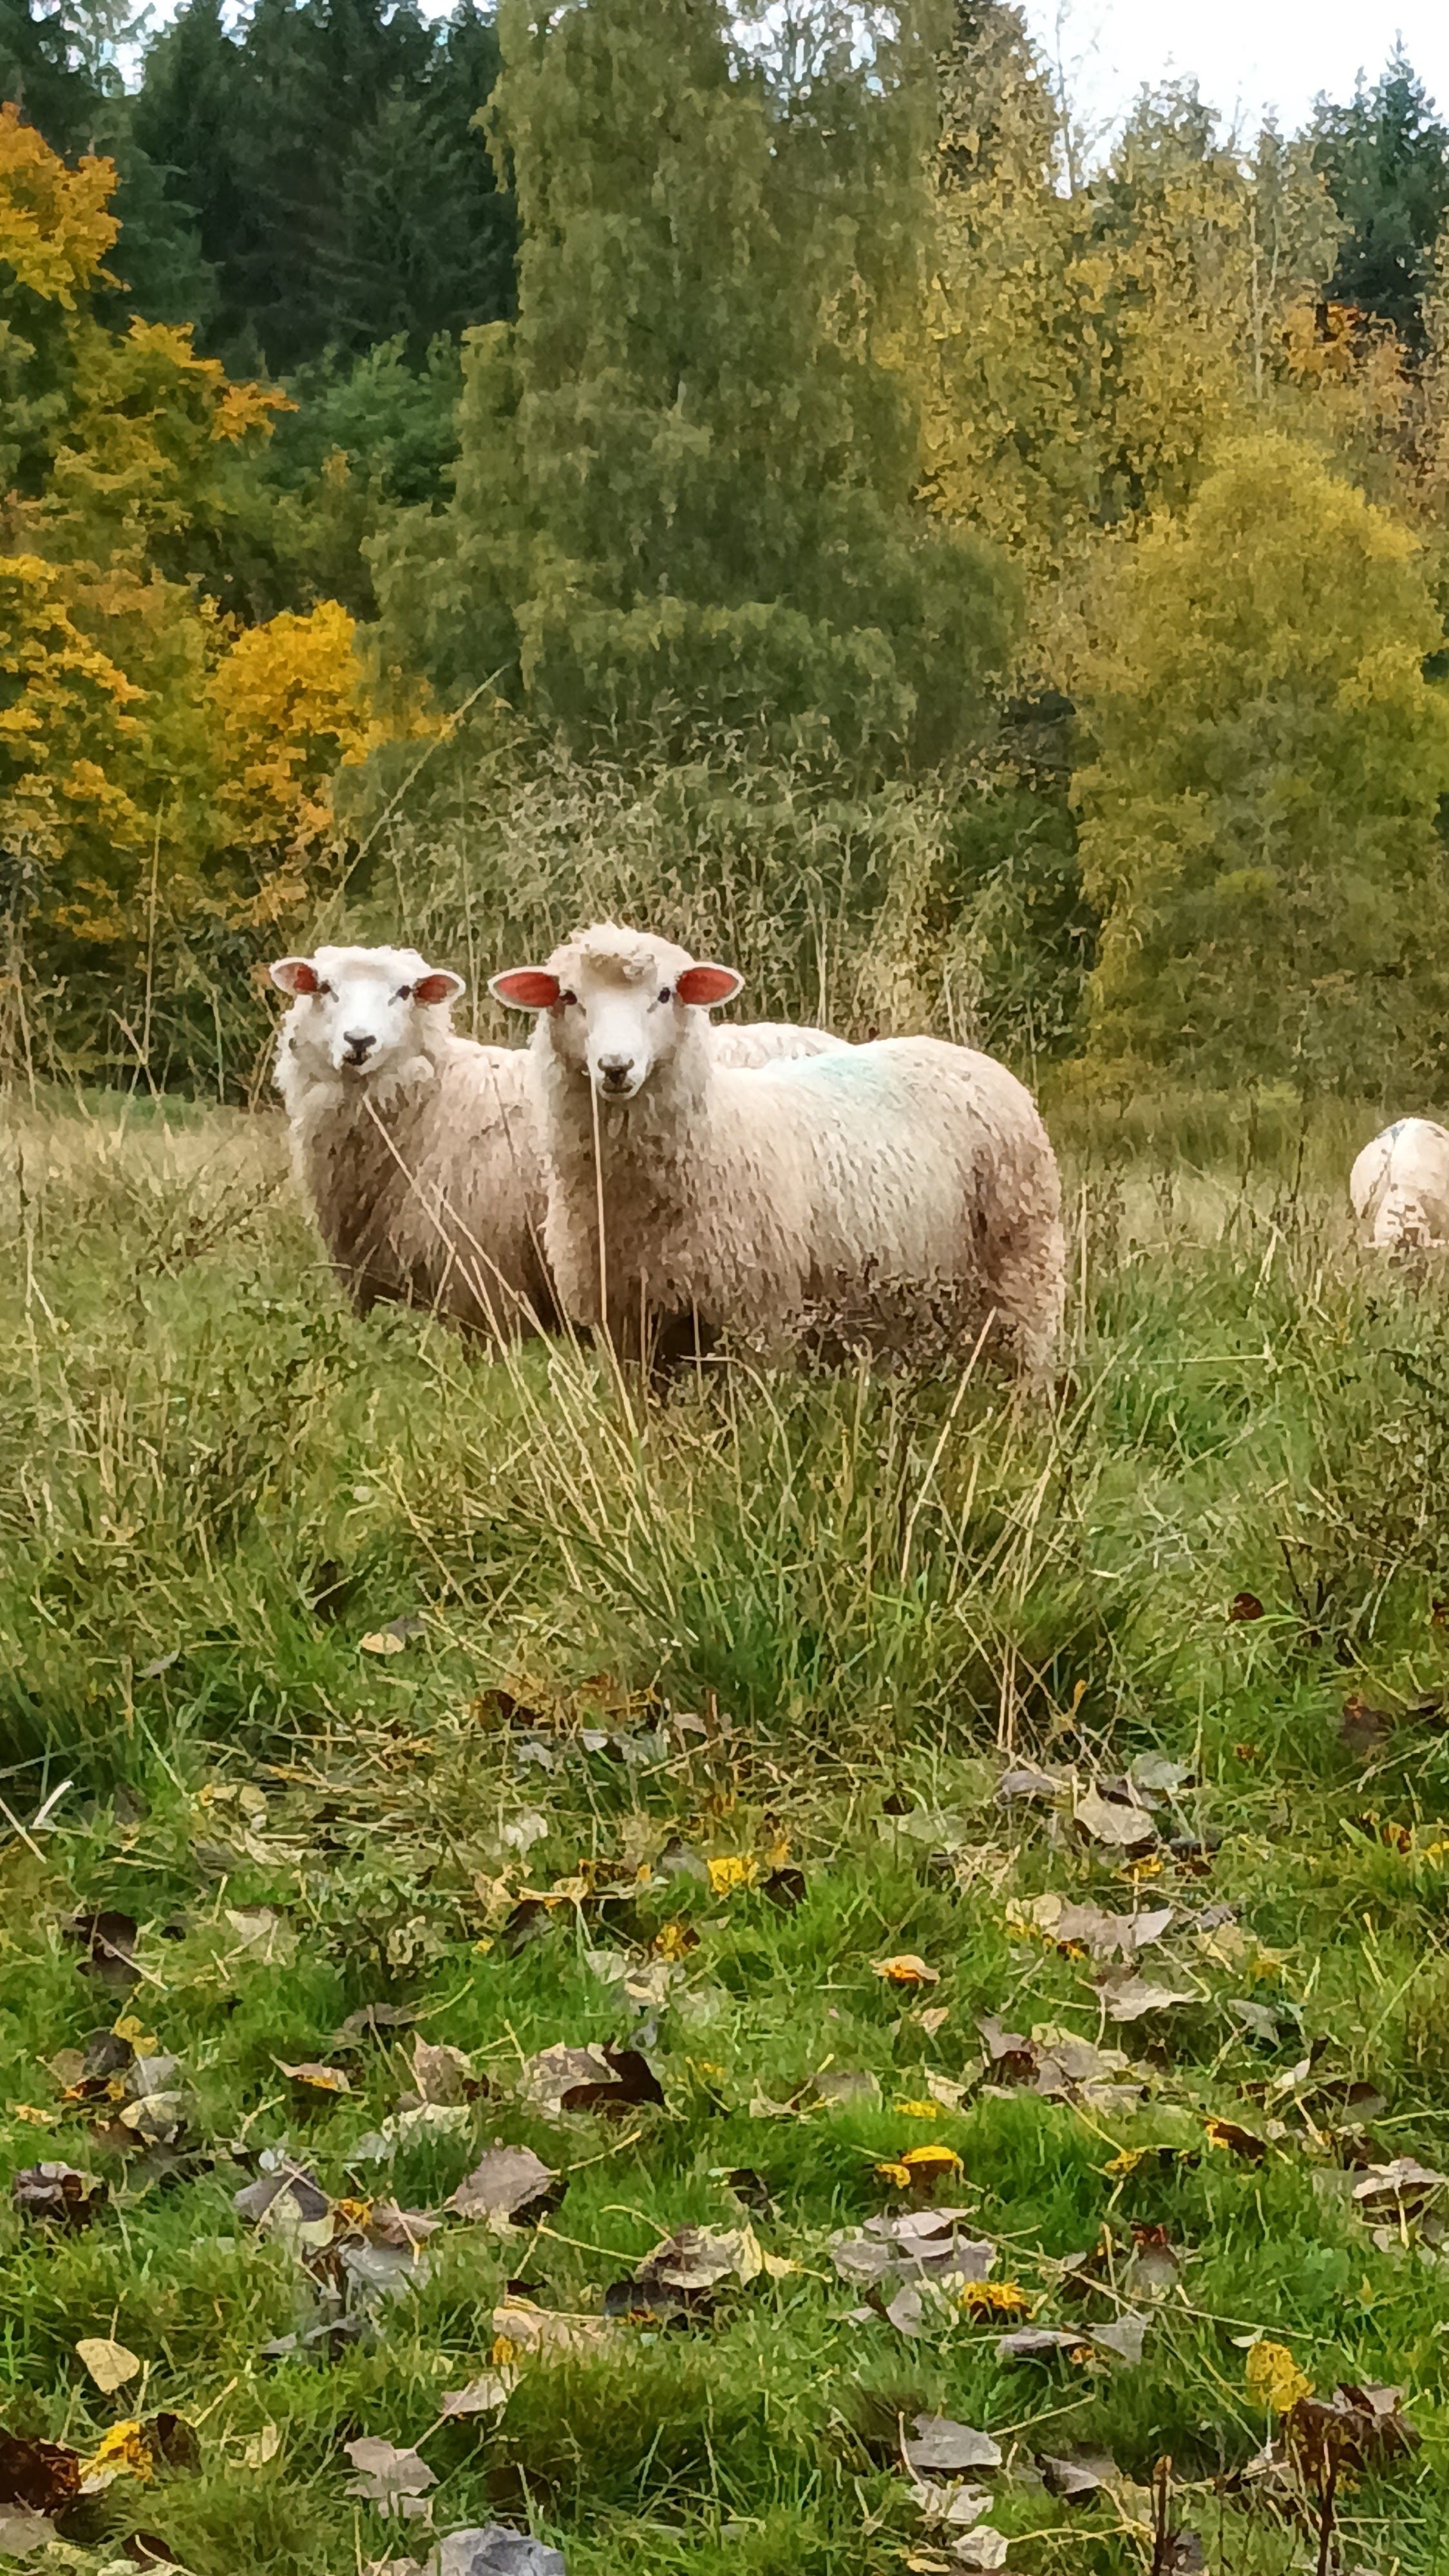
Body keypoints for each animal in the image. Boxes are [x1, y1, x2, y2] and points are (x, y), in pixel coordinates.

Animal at [490, 922, 1064, 1381]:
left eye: (665, 994)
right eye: (568, 997)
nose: (615, 1067)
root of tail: (971, 1058)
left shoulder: (760, 1319)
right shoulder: (629, 1327)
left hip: (1023, 1265)